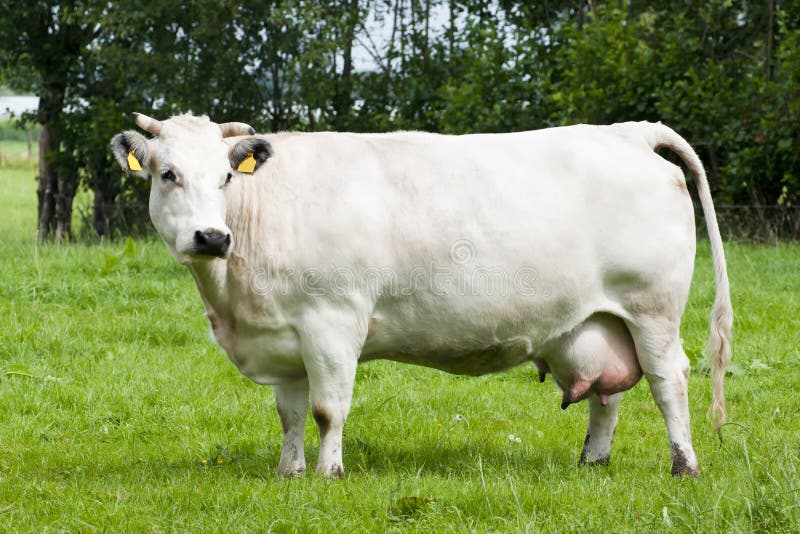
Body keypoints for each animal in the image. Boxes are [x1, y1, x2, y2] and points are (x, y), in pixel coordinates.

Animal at [111, 113, 732, 479]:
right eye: (167, 174)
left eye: (226, 178)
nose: (212, 237)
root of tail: (630, 130)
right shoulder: (282, 336)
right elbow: (289, 413)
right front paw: (290, 472)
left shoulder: (333, 321)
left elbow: (327, 409)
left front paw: (328, 474)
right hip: (601, 318)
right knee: (610, 392)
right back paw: (592, 461)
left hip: (653, 310)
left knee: (668, 379)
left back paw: (684, 466)